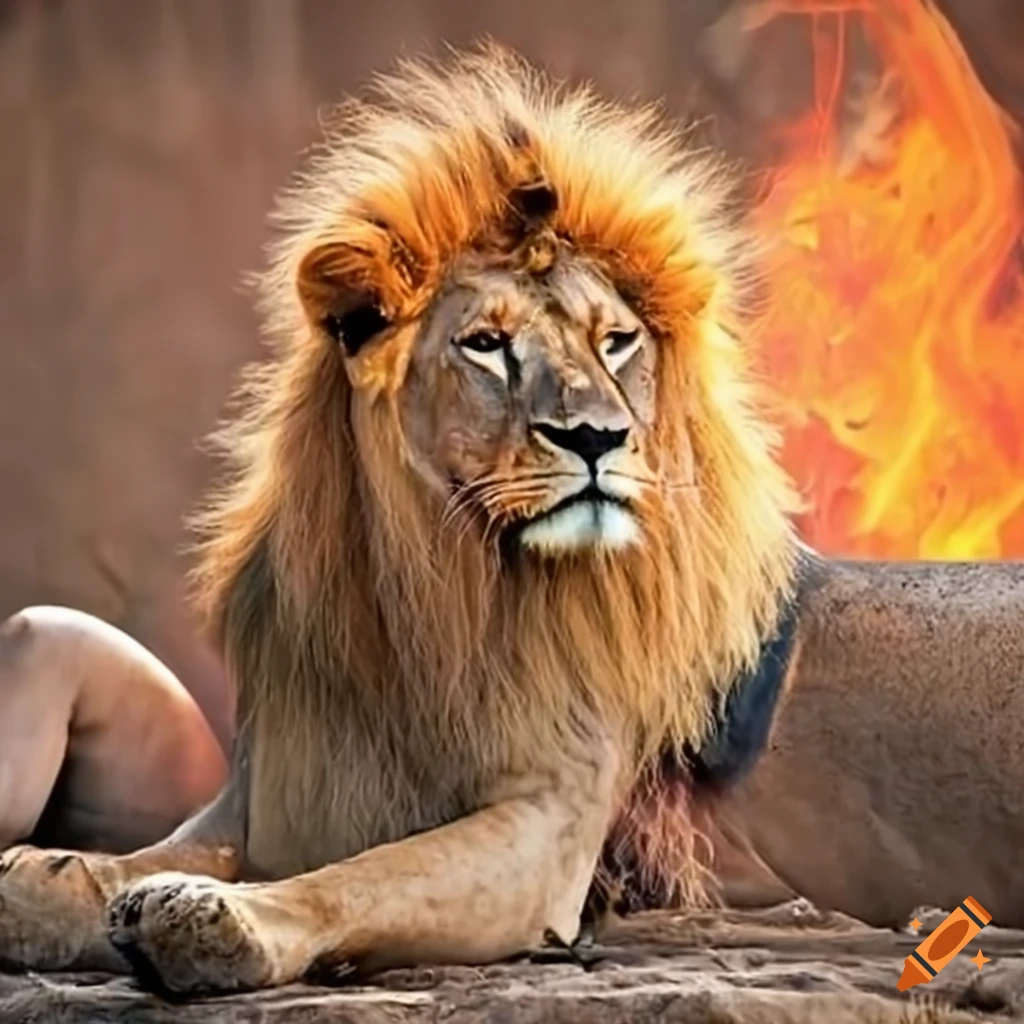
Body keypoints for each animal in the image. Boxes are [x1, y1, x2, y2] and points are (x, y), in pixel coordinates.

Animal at [1, 44, 1022, 996]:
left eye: (617, 341)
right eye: (487, 346)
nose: (597, 436)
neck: (429, 594)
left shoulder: (550, 832)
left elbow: (364, 874)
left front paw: (219, 921)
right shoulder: (269, 788)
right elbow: (131, 863)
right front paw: (45, 882)